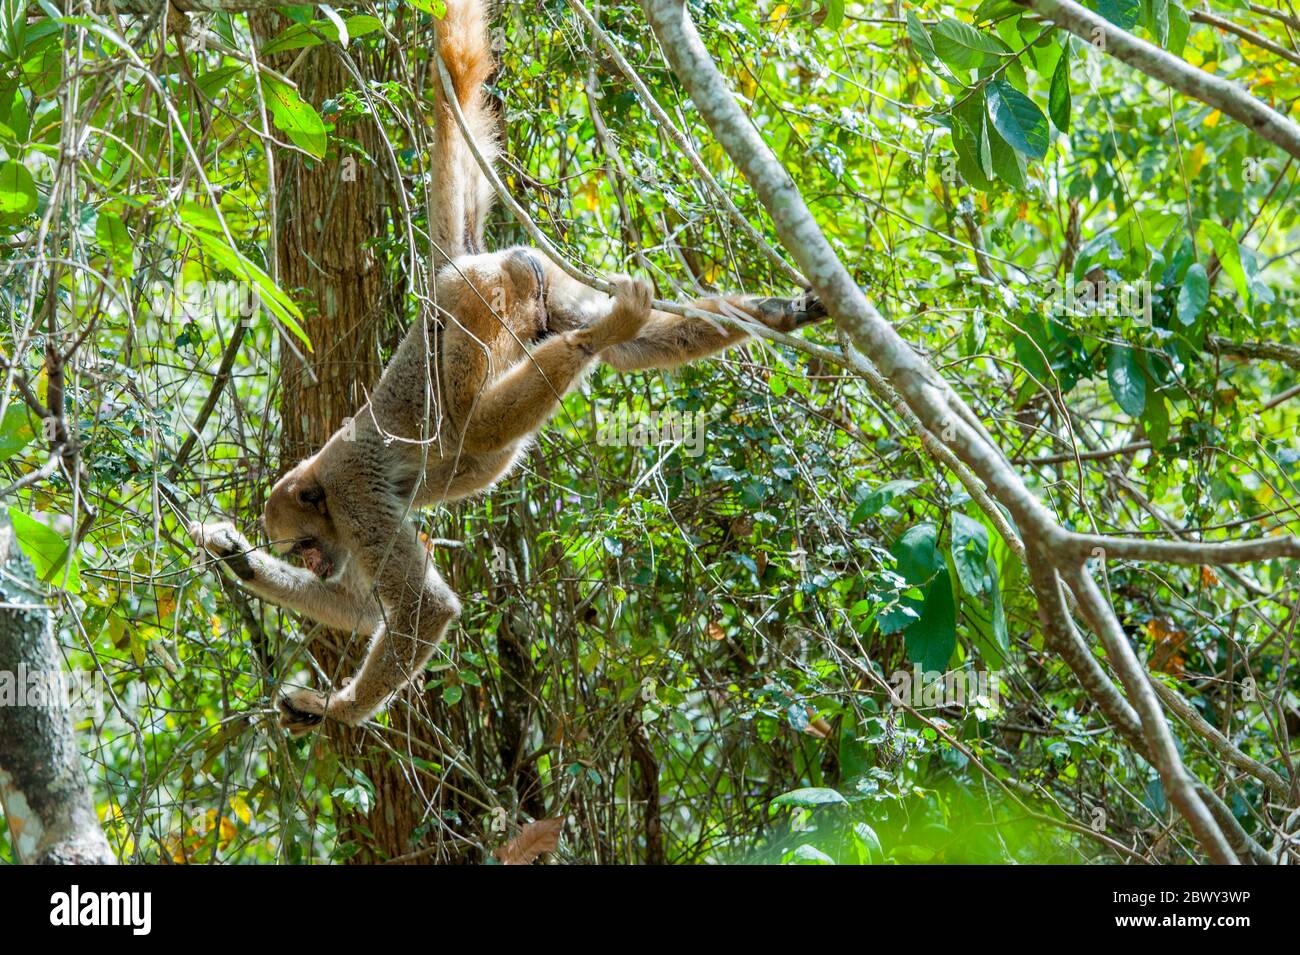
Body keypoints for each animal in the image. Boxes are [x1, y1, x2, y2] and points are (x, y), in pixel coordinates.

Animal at [189, 0, 827, 735]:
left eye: (300, 545)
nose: (314, 563)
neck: (319, 474)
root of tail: (455, 268)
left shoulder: (352, 497)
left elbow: (422, 609)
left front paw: (336, 710)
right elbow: (366, 610)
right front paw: (235, 558)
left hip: (480, 298)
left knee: (471, 421)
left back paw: (602, 335)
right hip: (532, 282)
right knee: (596, 359)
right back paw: (747, 316)